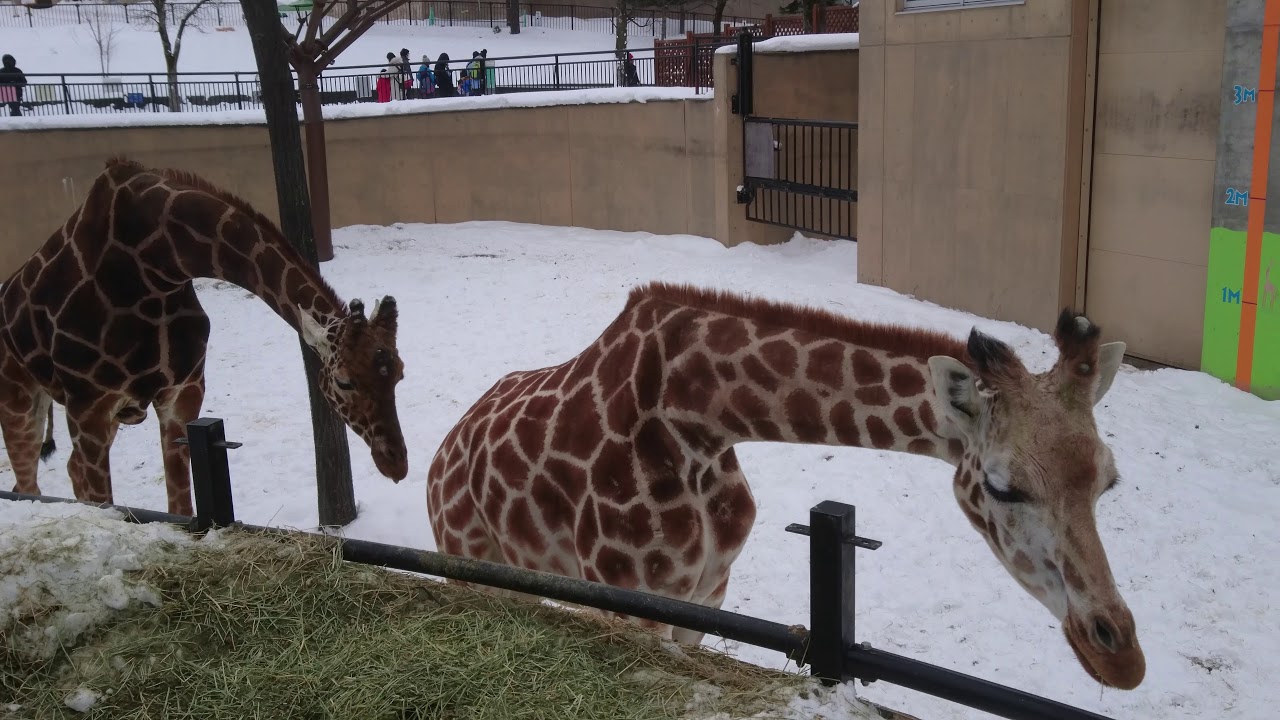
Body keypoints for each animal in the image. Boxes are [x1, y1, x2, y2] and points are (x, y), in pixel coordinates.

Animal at [0, 157, 408, 516]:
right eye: (344, 382)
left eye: (400, 374)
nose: (397, 463)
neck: (158, 263)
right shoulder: (89, 408)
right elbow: (106, 507)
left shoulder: (182, 393)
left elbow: (182, 509)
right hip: (19, 400)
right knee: (27, 485)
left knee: (68, 470)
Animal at [426, 282, 1145, 690]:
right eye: (1001, 487)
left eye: (1109, 482)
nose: (1121, 655)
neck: (693, 423)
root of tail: (443, 454)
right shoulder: (628, 603)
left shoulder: (706, 593)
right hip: (467, 557)